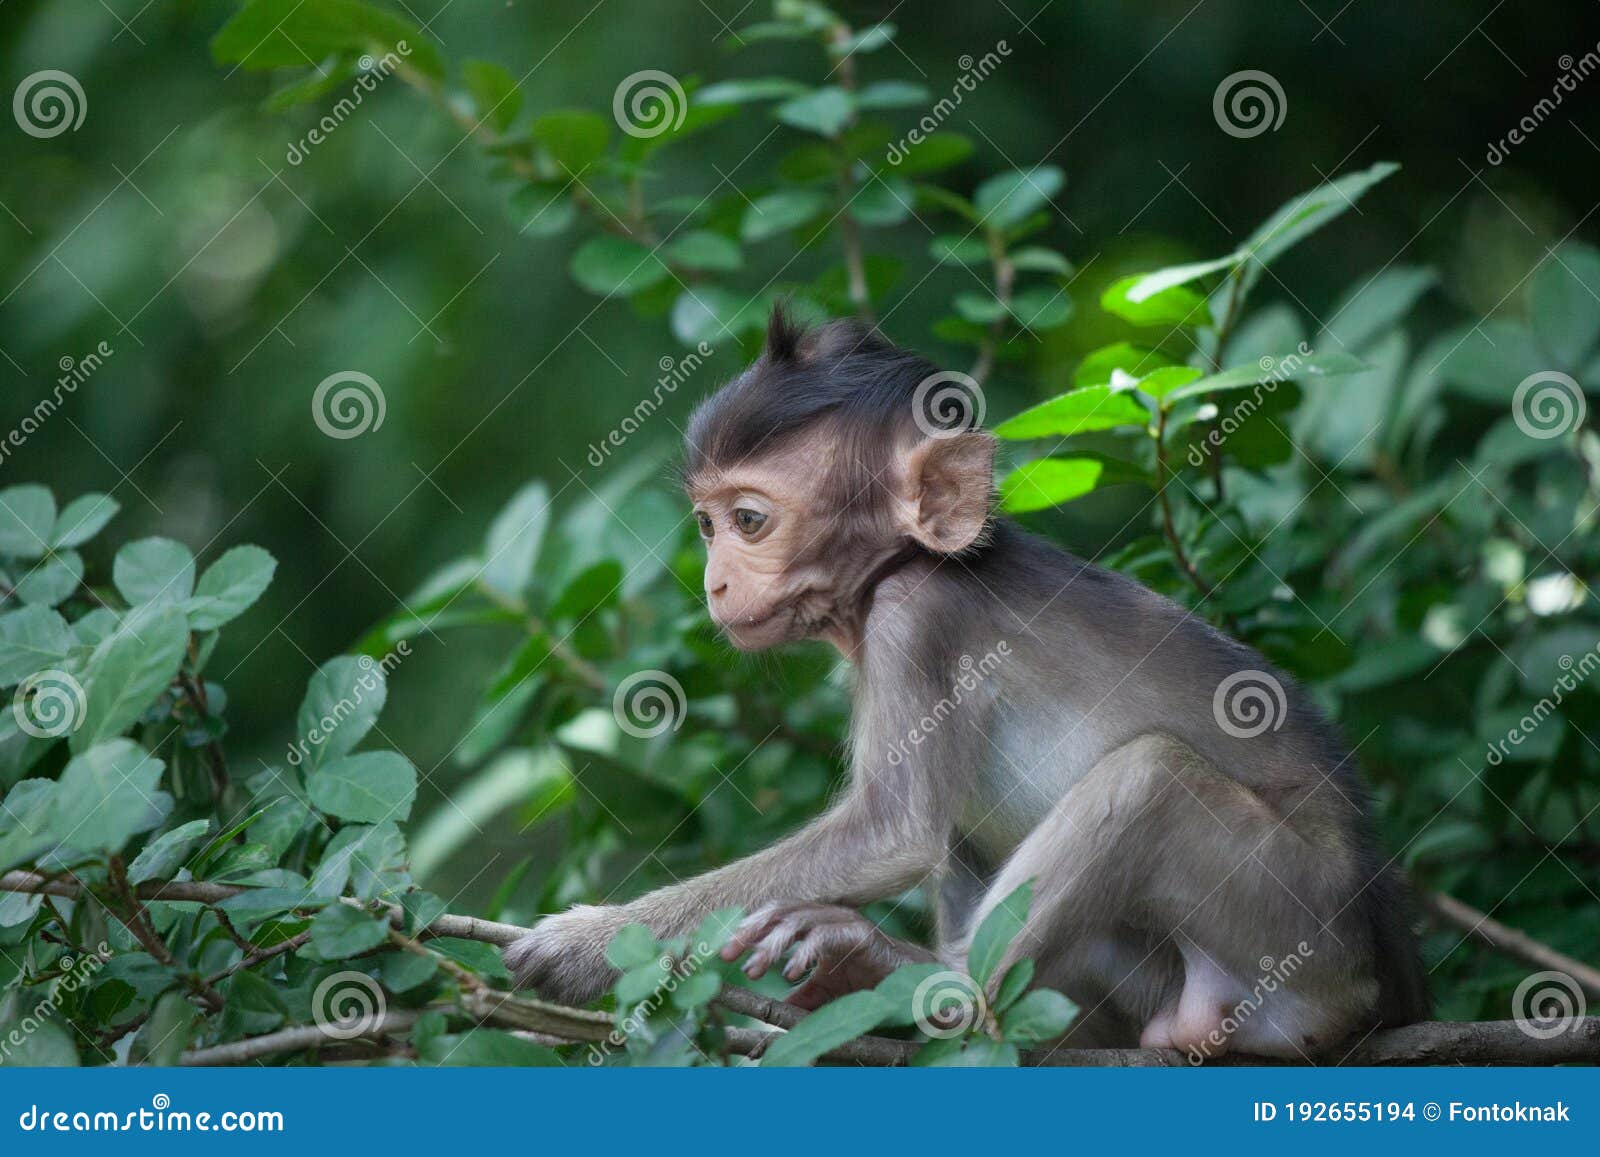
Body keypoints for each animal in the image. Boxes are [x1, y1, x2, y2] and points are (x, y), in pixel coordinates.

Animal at [504, 308, 1429, 1057]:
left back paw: (929, 986)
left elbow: (891, 833)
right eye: (705, 524)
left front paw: (586, 944)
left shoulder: (916, 619)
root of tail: (1381, 975)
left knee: (1148, 778)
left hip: (1301, 924)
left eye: (749, 521)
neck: (897, 567)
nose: (714, 583)